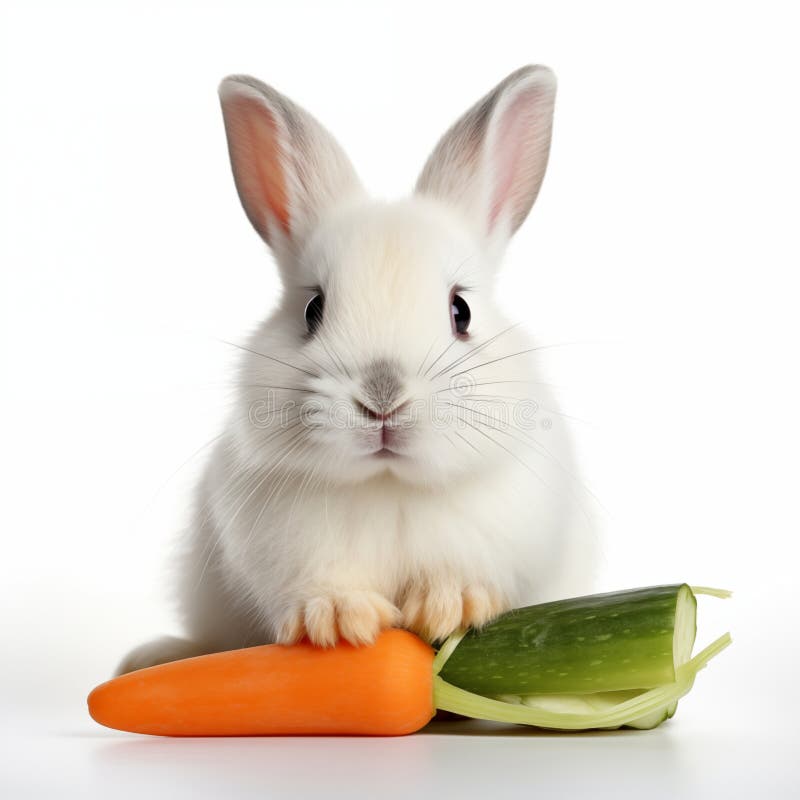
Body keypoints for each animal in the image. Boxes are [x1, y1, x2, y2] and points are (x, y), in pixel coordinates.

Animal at [117, 65, 597, 676]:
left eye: (461, 311)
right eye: (312, 309)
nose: (382, 398)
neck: (386, 485)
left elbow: (463, 574)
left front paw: (449, 605)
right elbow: (320, 586)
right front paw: (340, 622)